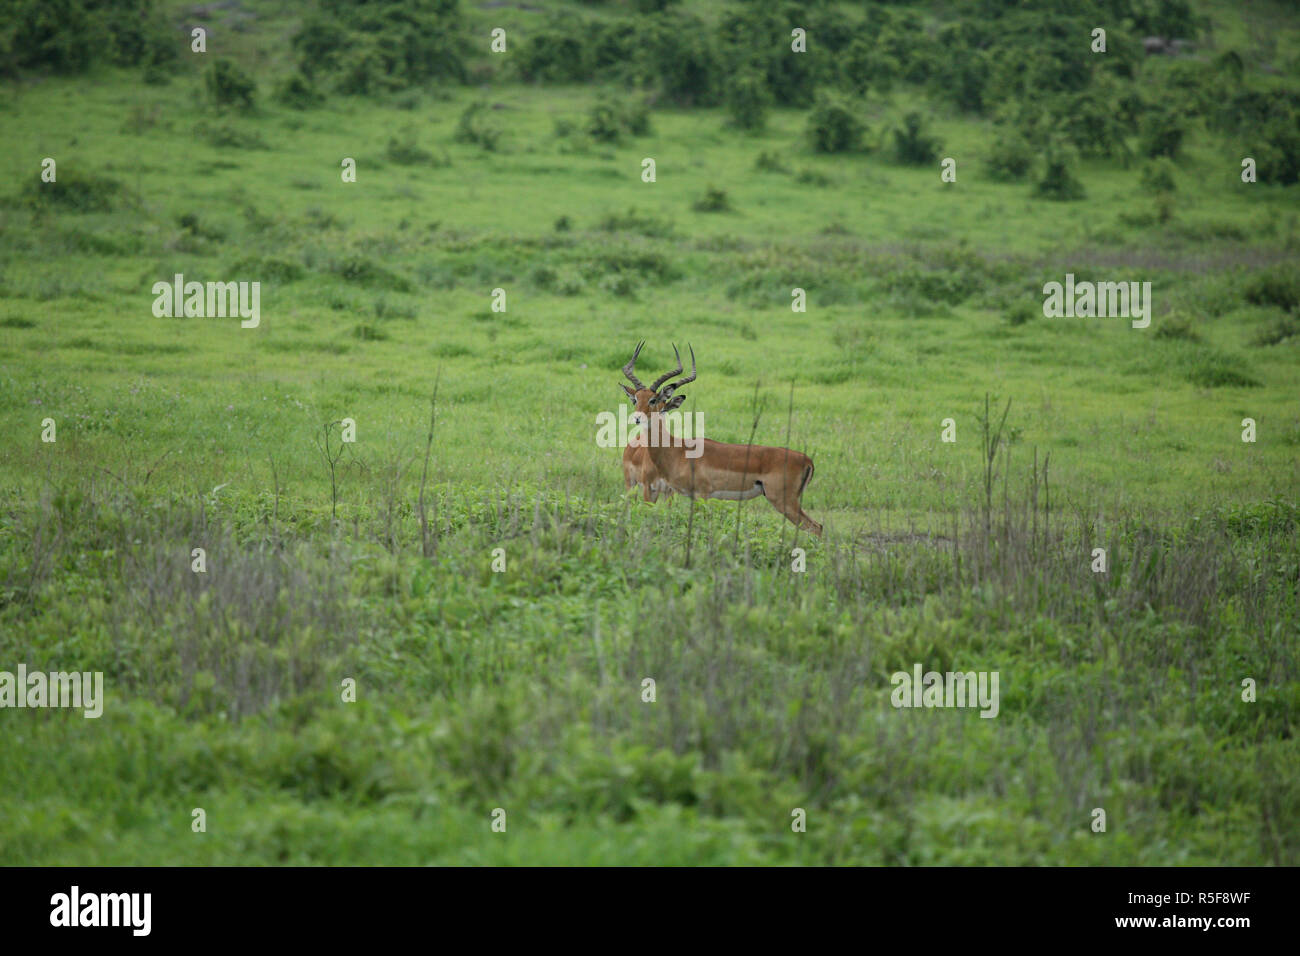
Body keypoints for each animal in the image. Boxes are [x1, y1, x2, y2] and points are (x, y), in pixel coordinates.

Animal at [619, 342, 822, 536]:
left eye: (653, 400)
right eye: (635, 399)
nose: (636, 418)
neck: (678, 450)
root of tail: (807, 460)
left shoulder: (701, 494)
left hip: (784, 501)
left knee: (816, 527)